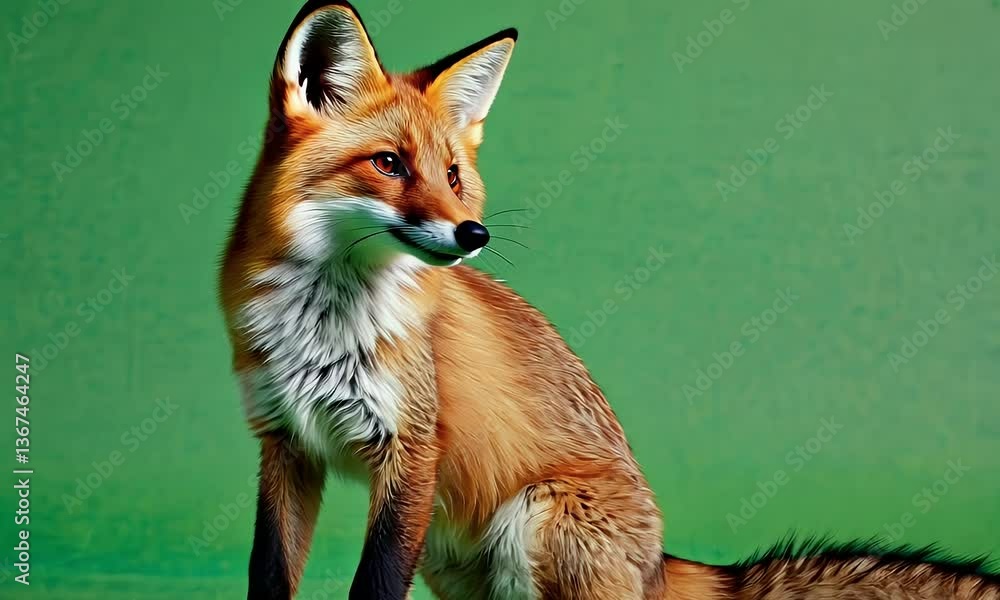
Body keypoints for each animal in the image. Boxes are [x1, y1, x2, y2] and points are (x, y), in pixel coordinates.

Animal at [219, 1, 1000, 598]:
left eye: (453, 174)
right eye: (388, 164)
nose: (475, 233)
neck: (323, 321)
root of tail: (662, 561)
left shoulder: (410, 448)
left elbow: (374, 584)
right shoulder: (284, 444)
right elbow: (269, 574)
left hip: (535, 517)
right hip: (455, 559)